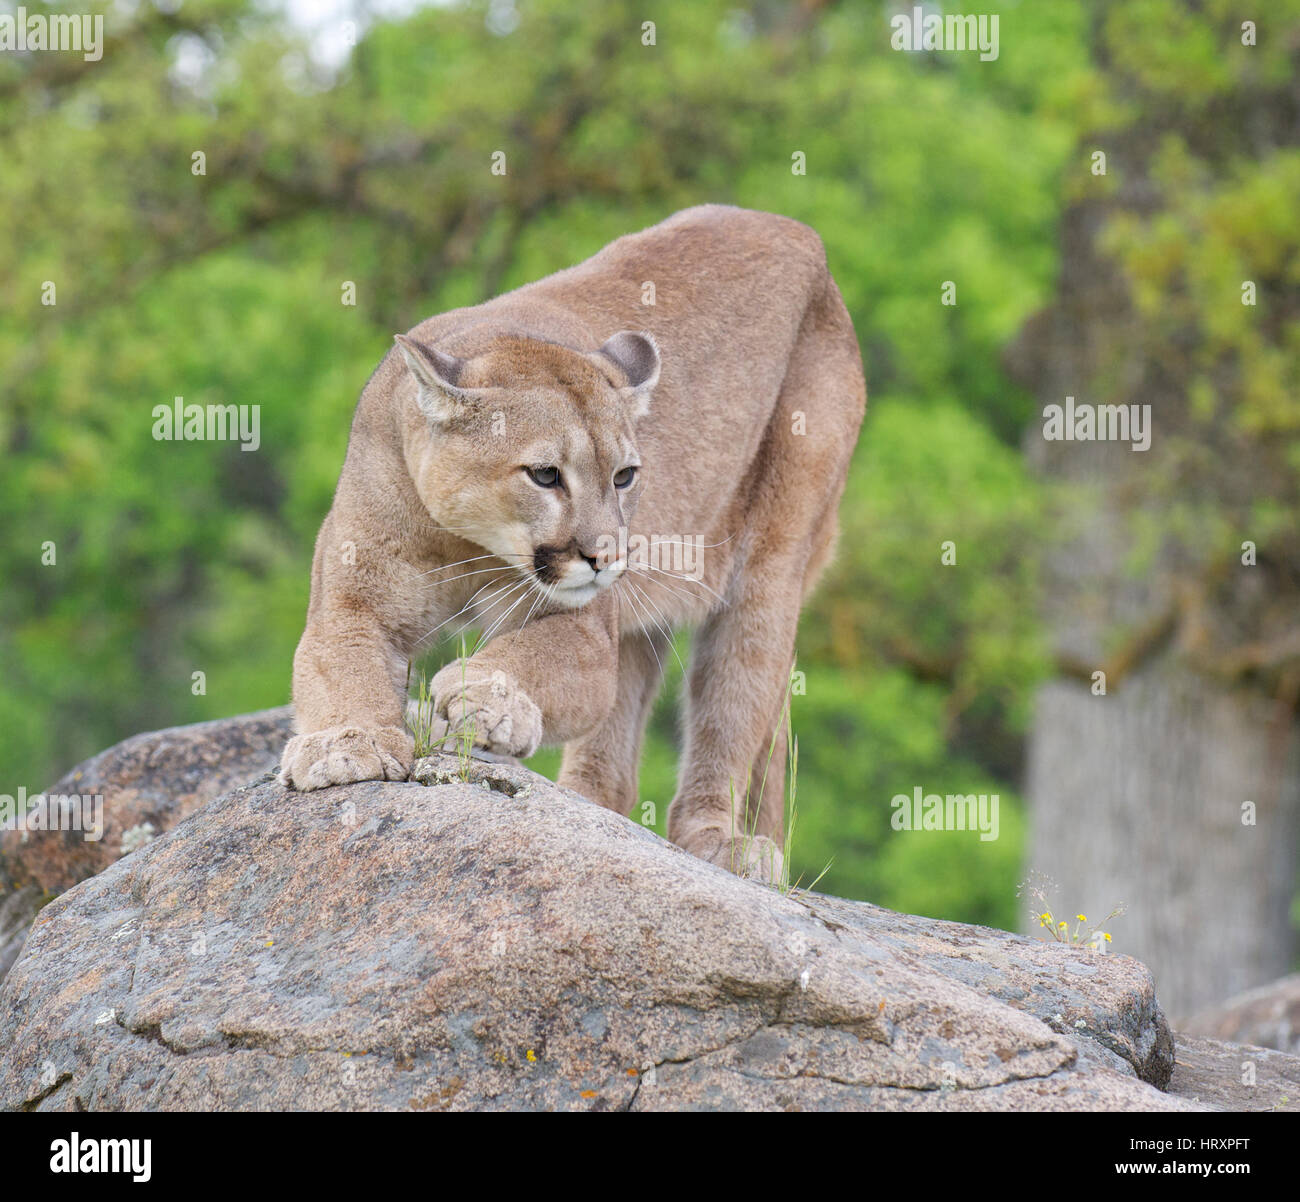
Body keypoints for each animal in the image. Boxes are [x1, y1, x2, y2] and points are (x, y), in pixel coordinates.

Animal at [280, 205, 866, 880]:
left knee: (735, 709)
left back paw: (722, 843)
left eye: (624, 475)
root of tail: (793, 228)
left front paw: (486, 699)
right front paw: (343, 745)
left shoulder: (585, 628)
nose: (608, 555)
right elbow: (339, 667)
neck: (467, 542)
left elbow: (536, 657)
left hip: (767, 570)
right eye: (544, 474)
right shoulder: (354, 602)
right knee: (618, 754)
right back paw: (592, 812)